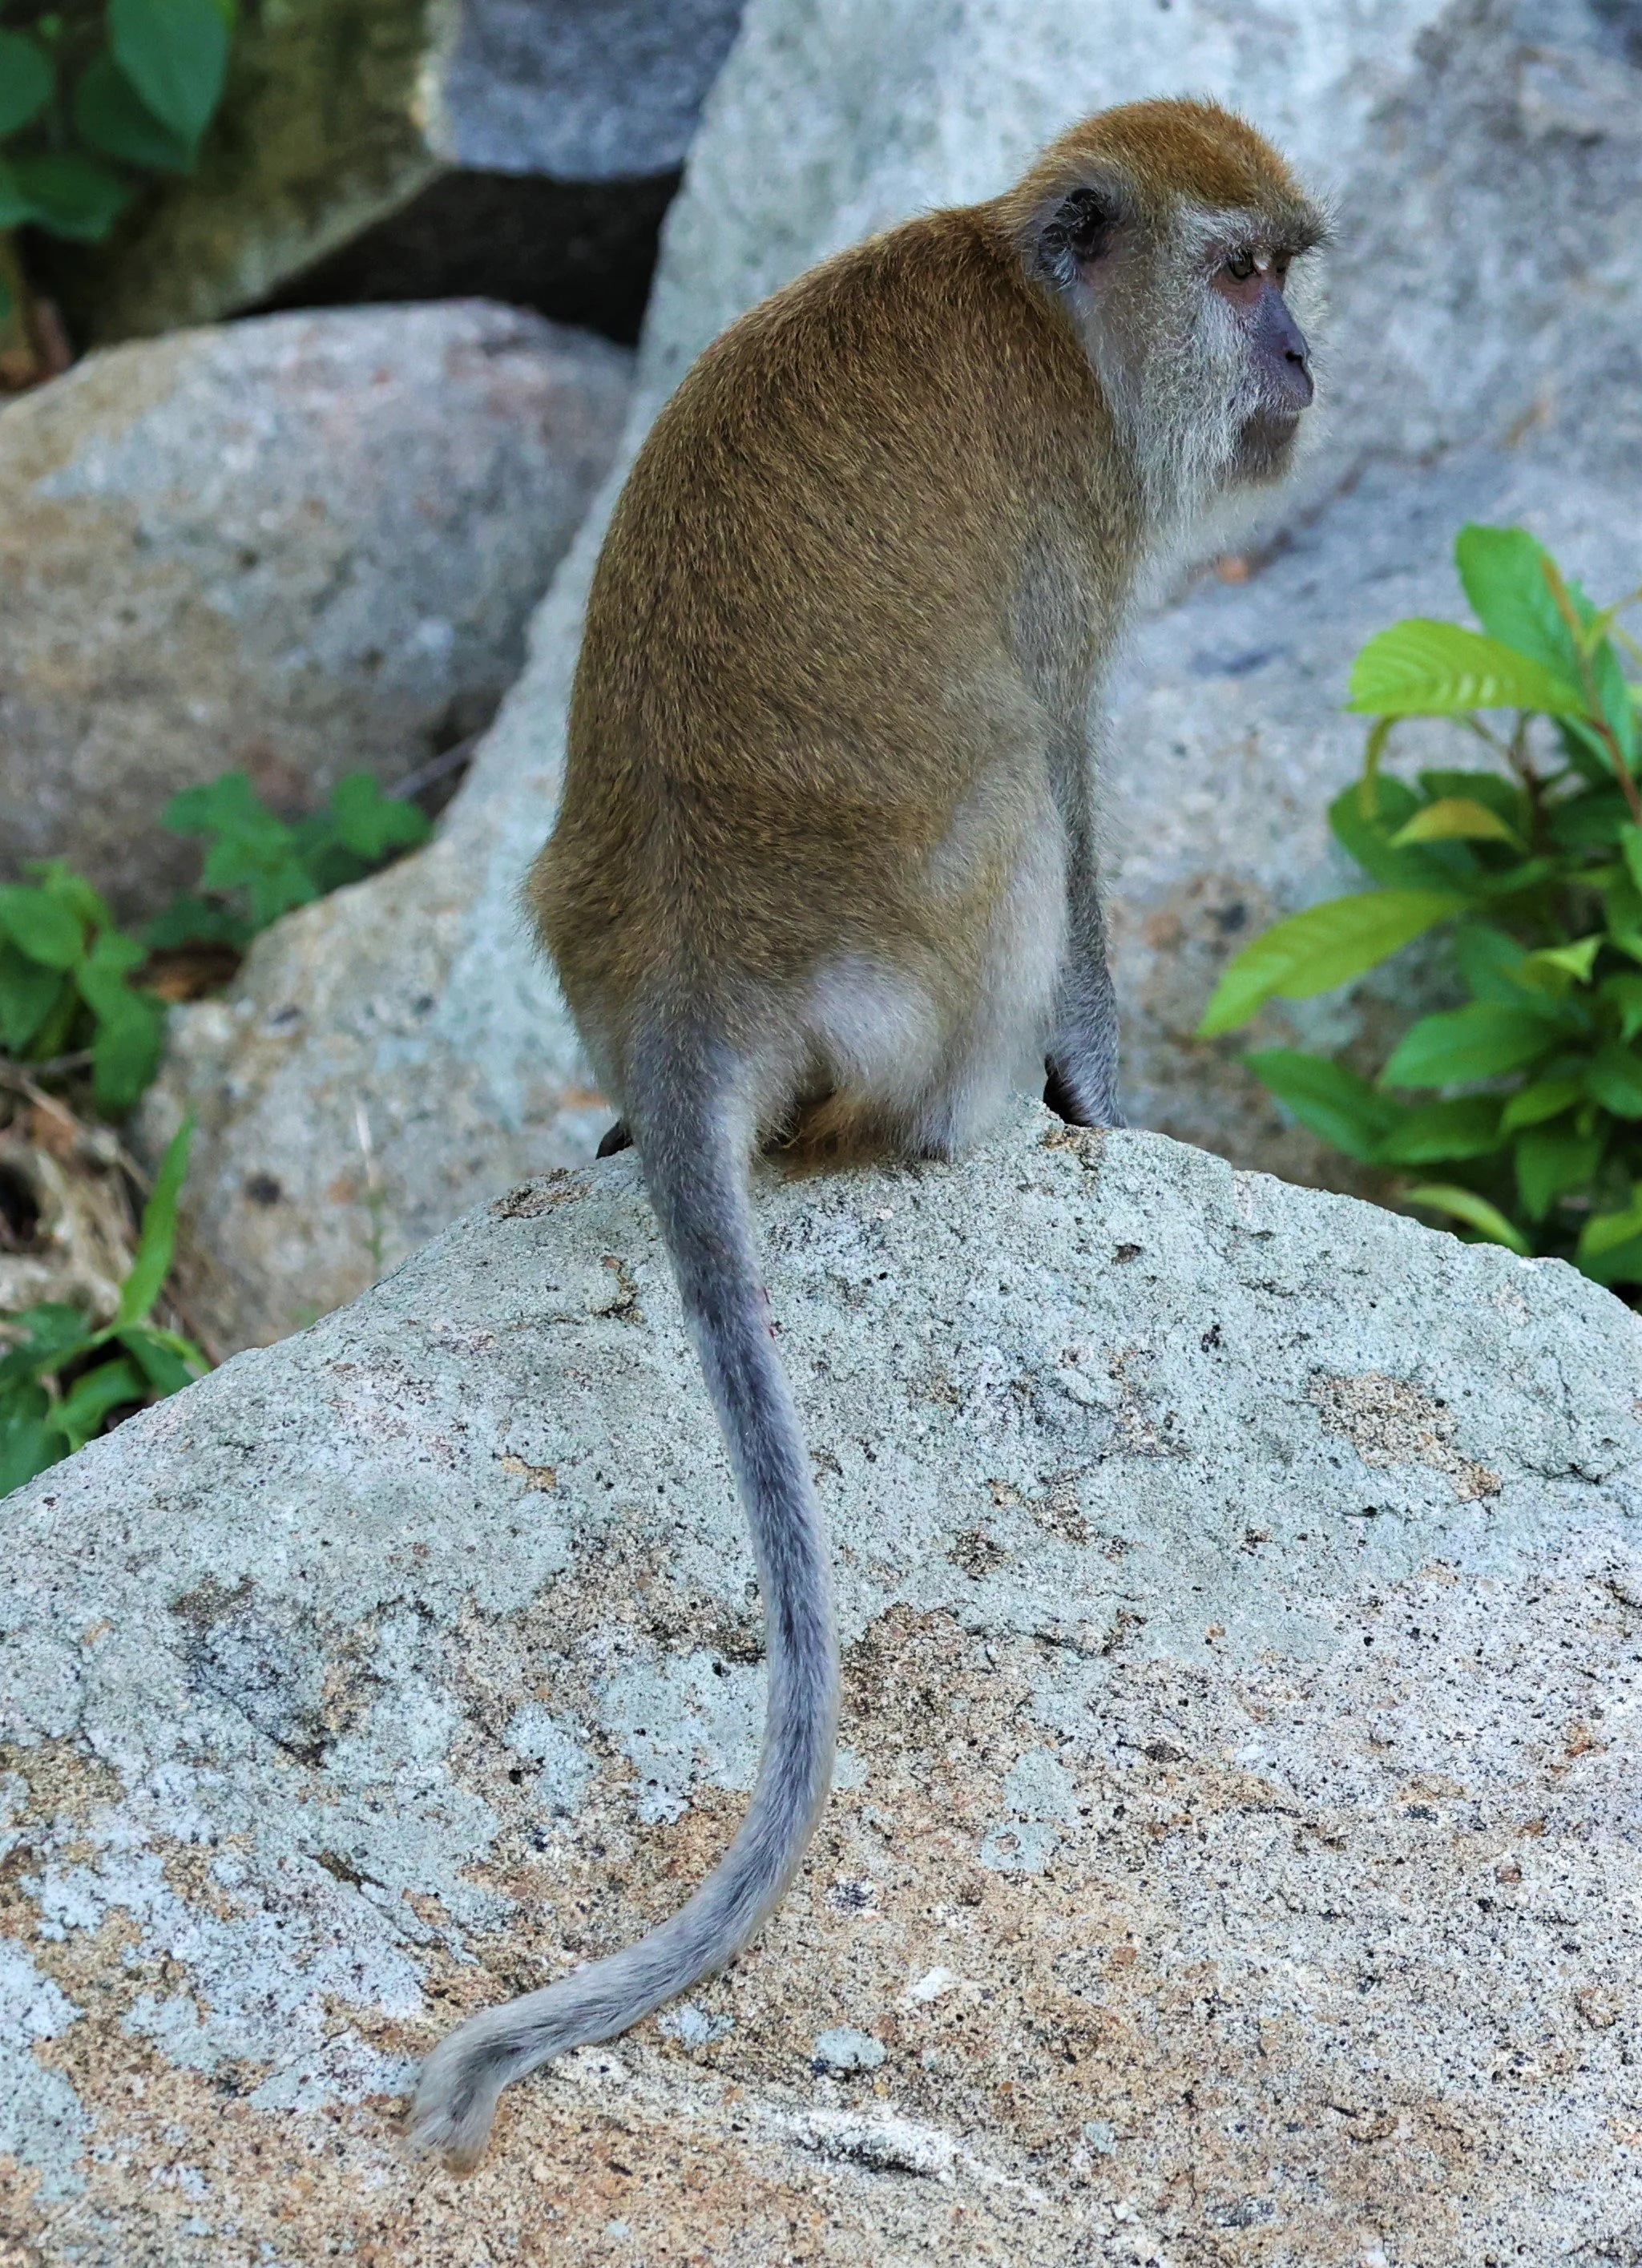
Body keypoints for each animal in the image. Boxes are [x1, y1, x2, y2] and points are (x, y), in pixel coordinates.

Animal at [410, 97, 1325, 2170]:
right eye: (1244, 275)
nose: (1307, 363)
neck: (1036, 296)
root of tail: (690, 982)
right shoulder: (1075, 508)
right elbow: (1068, 765)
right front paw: (1099, 1094)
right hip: (921, 962)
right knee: (1013, 806)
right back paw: (973, 1129)